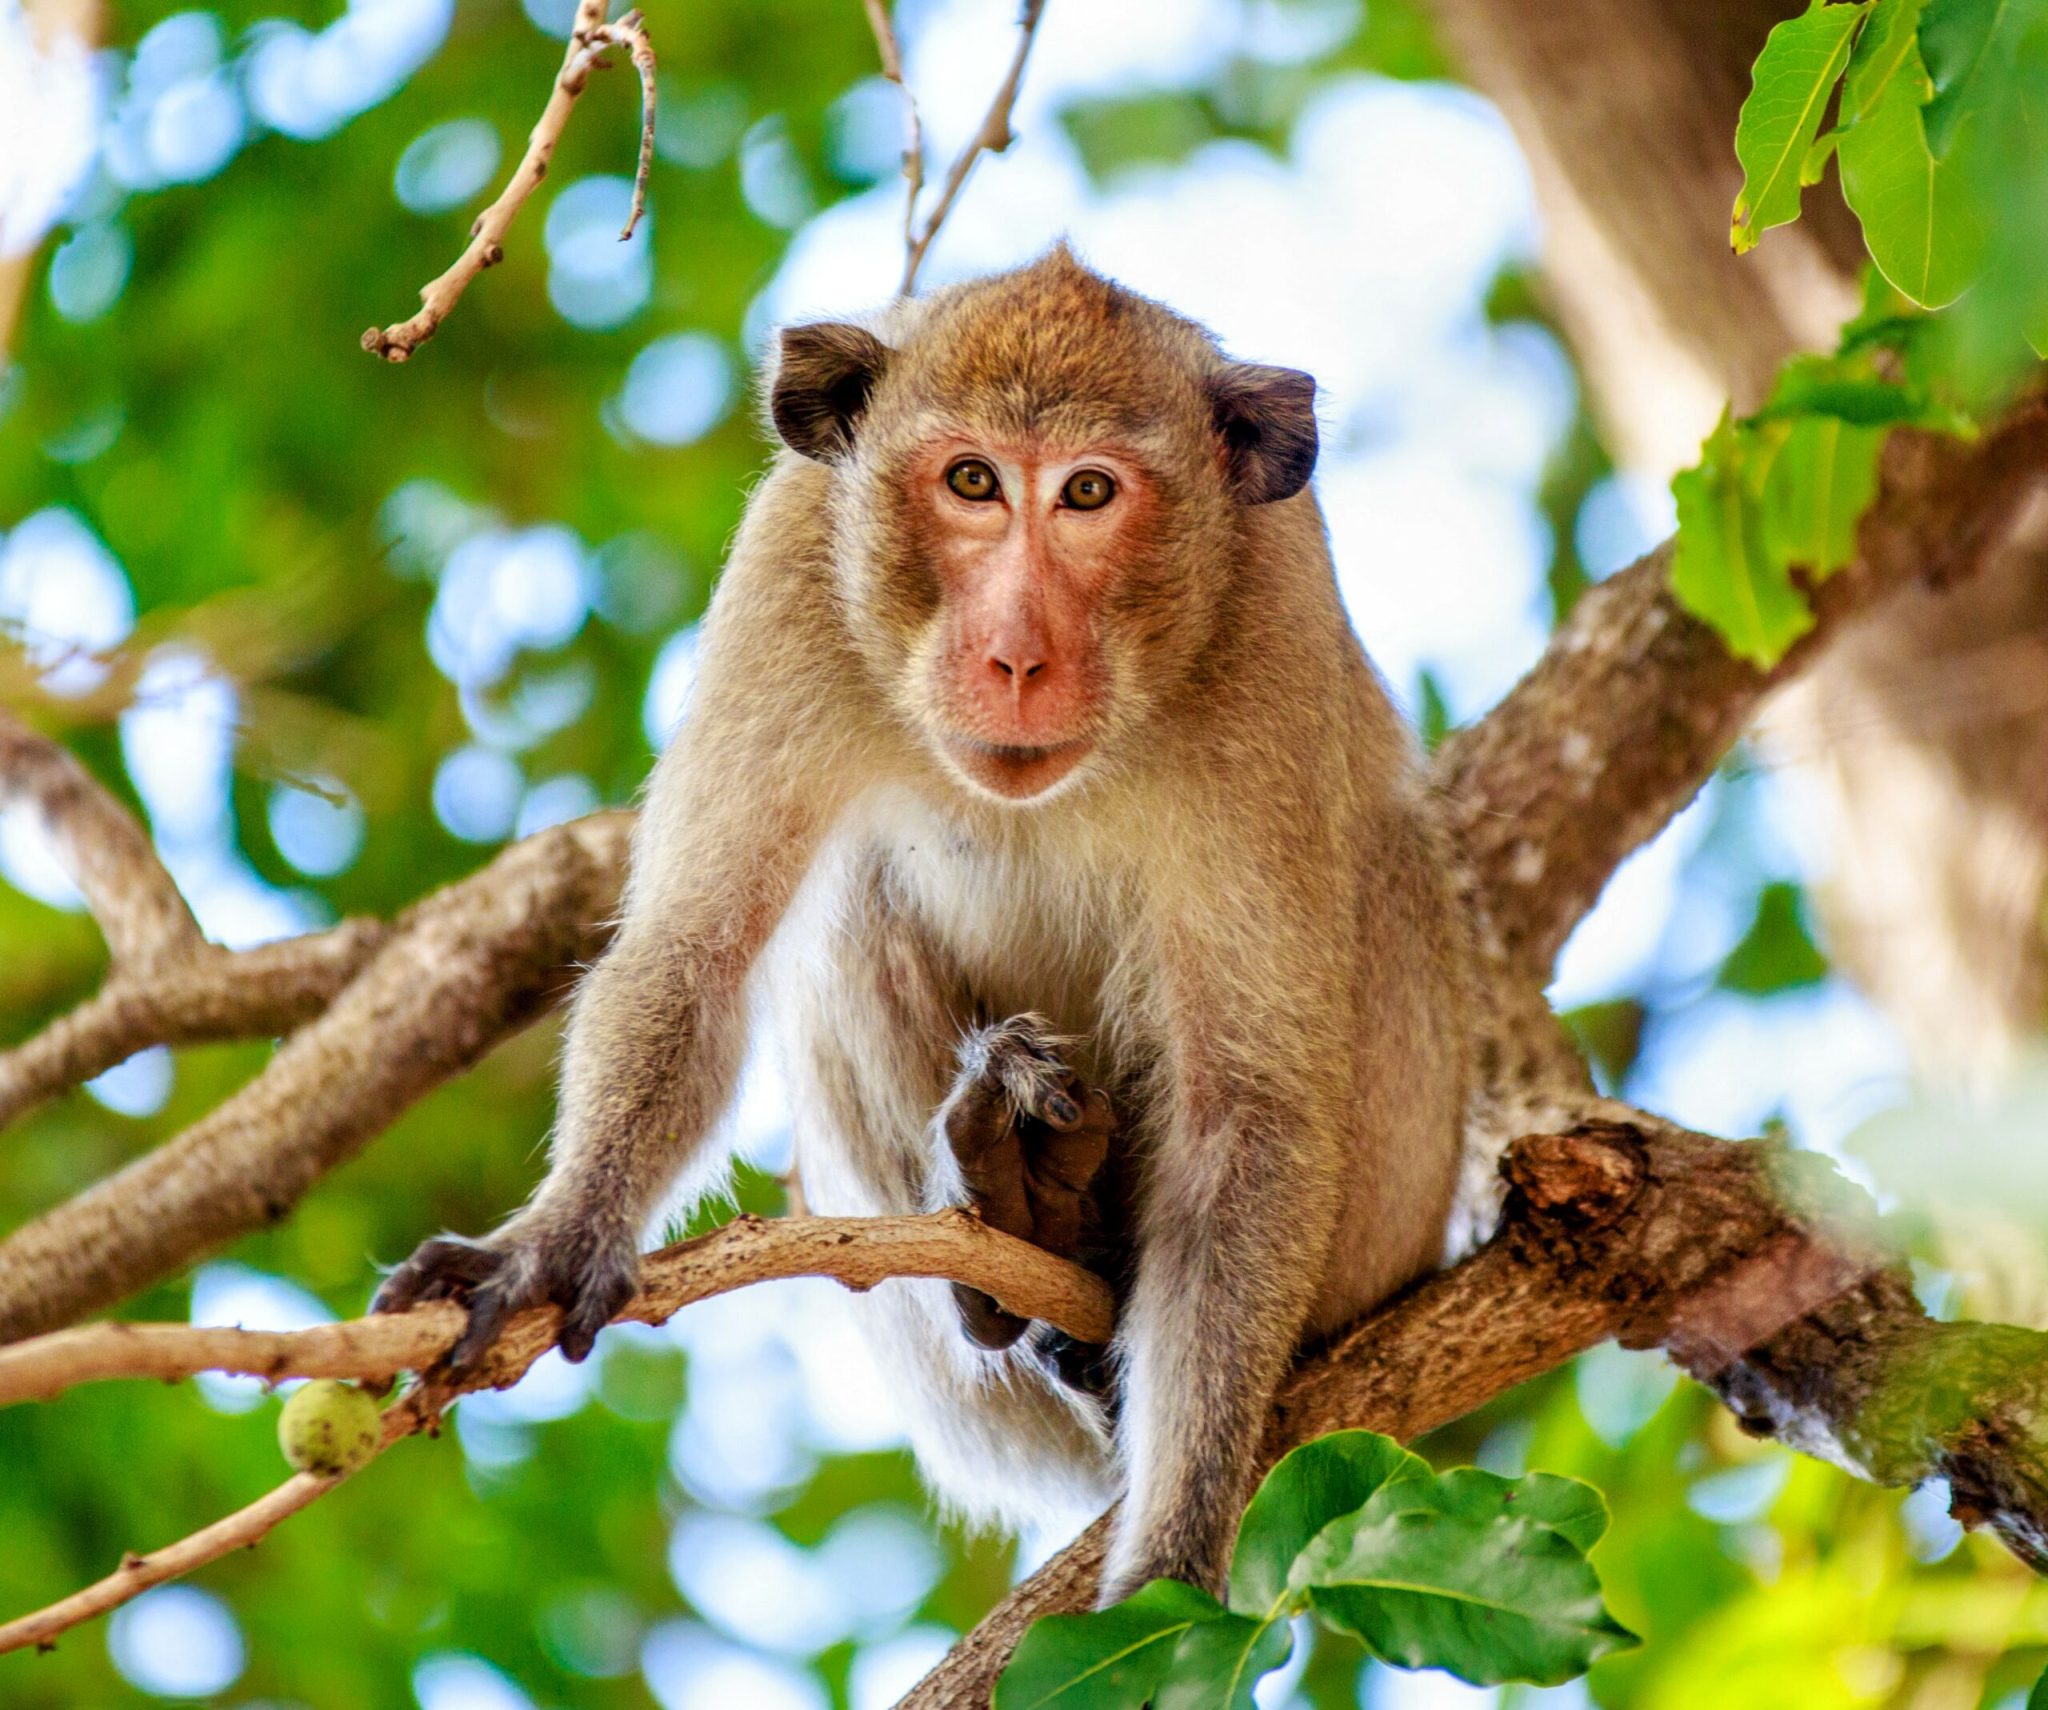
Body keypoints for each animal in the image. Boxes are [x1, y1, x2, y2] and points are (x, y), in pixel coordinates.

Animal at [373, 245, 1473, 1604]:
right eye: (969, 482)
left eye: (1088, 493)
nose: (1014, 655)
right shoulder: (791, 563)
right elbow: (693, 946)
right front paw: (558, 1235)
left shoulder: (1273, 624)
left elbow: (1249, 1110)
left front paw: (1168, 1565)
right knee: (848, 904)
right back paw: (1022, 1212)